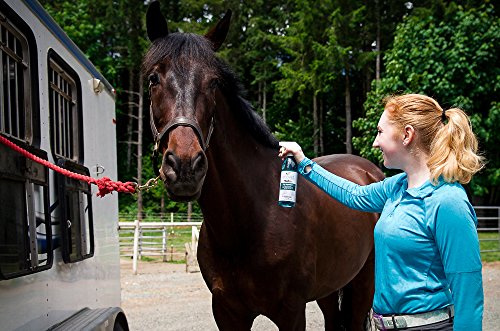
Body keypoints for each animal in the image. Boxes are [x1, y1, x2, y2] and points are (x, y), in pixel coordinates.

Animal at [143, 1, 384, 330]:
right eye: (154, 79)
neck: (247, 221)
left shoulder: (292, 312)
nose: (184, 166)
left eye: (213, 83)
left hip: (363, 283)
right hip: (329, 287)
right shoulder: (227, 312)